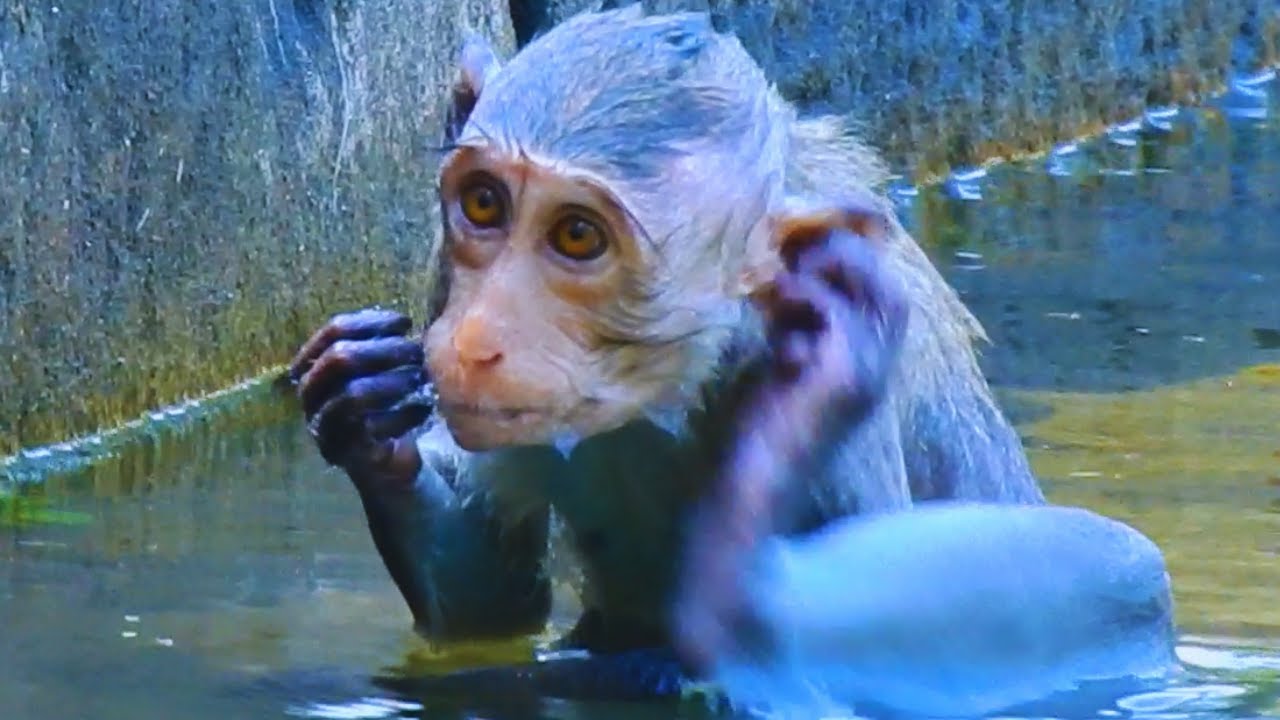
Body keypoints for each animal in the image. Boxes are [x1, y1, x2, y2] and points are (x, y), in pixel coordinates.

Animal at [286, 6, 1176, 713]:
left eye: (576, 235)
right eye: (483, 202)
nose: (473, 340)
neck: (675, 384)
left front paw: (816, 386)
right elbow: (494, 607)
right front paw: (365, 411)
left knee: (1129, 570)